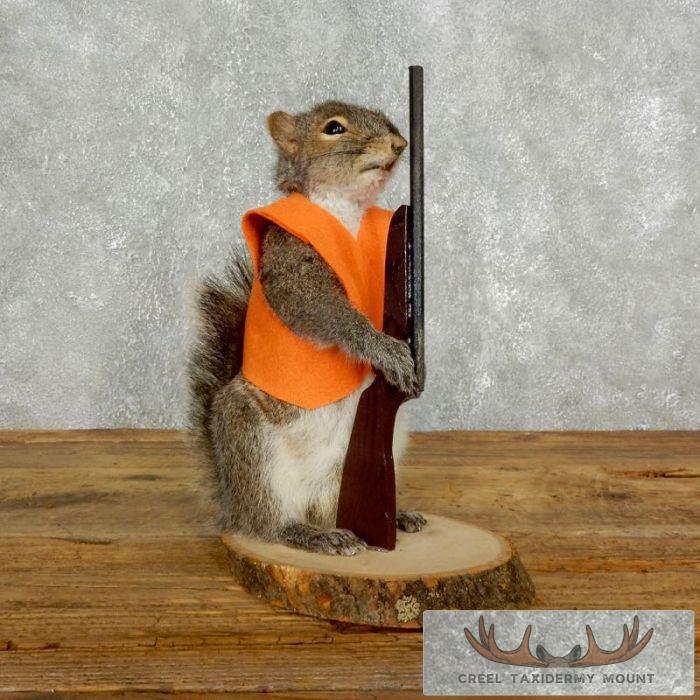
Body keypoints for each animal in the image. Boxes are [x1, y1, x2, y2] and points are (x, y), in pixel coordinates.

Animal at [188, 100, 426, 556]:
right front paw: (385, 349)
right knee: (267, 523)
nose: (399, 144)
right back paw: (309, 535)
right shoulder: (289, 259)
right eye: (333, 129)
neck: (345, 207)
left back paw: (389, 519)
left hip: (362, 458)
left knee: (332, 510)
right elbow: (321, 309)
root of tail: (232, 503)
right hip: (252, 444)